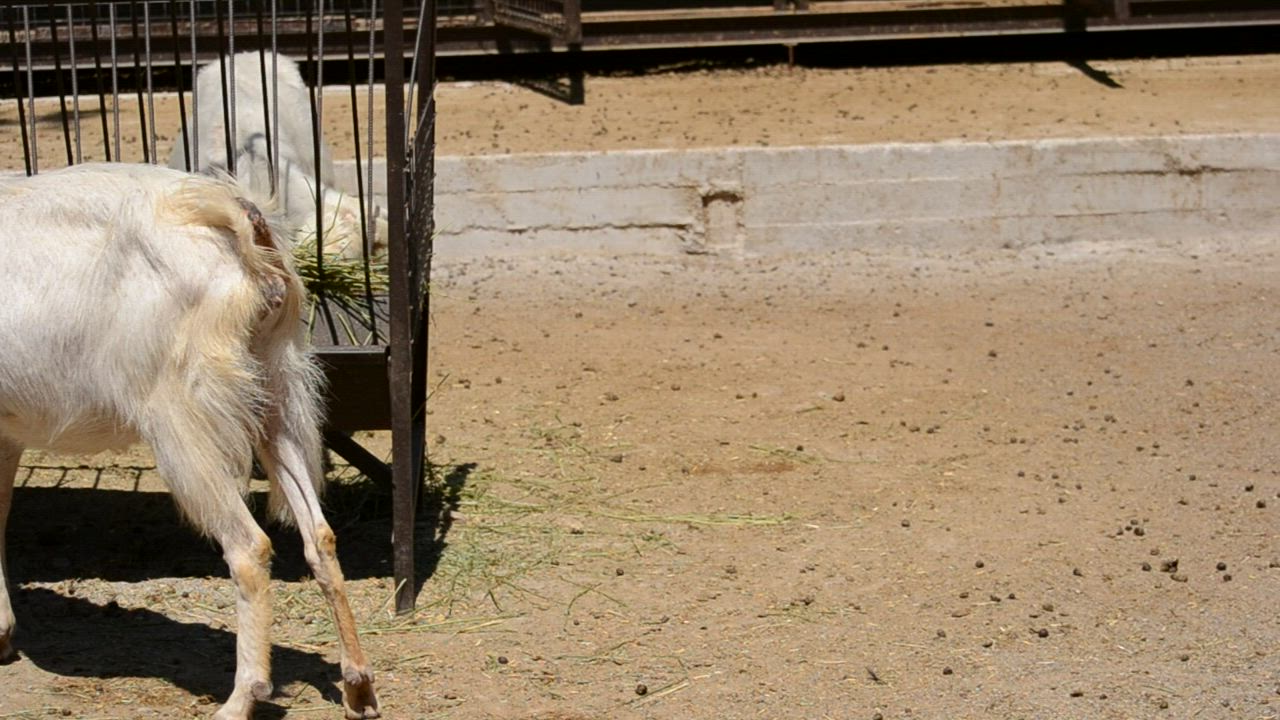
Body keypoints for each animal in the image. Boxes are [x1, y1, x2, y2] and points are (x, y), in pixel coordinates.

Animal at [0, 163, 379, 720]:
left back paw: (241, 699)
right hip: (278, 391)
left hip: (183, 414)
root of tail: (237, 214)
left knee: (249, 547)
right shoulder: (6, 432)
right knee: (319, 535)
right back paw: (358, 687)